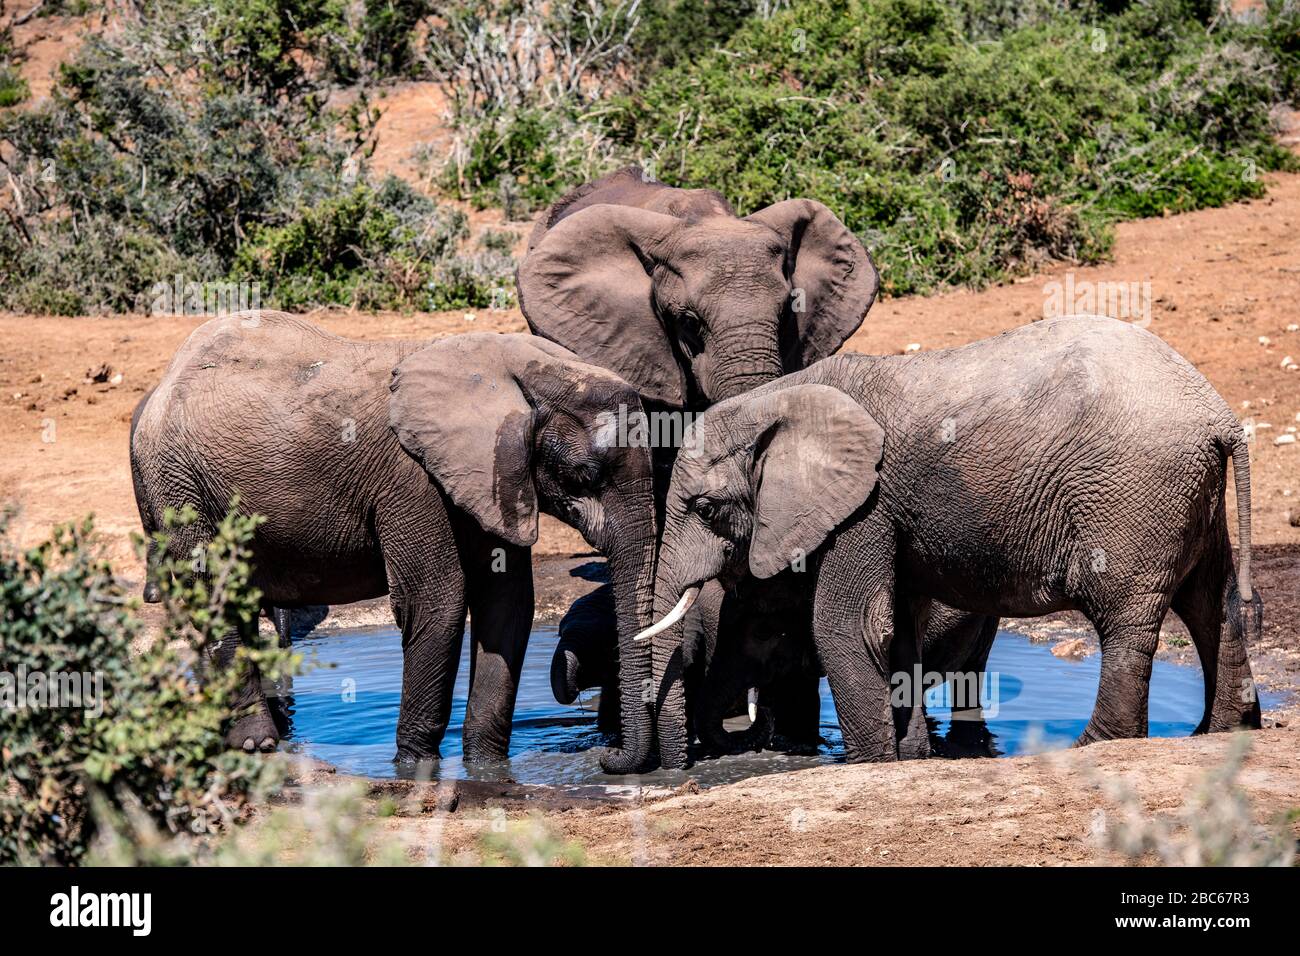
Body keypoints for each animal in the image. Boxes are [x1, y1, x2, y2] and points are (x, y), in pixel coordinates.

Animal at [130, 312, 660, 772]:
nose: (607, 757)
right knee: (215, 596)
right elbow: (438, 599)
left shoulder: (495, 477)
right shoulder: (411, 478)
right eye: (584, 475)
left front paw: (487, 768)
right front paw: (416, 767)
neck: (514, 366)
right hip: (177, 483)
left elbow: (507, 604)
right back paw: (256, 744)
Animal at [639, 315, 1262, 768]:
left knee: (1125, 619)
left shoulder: (865, 502)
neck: (780, 400)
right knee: (1212, 605)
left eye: (705, 509)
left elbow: (849, 623)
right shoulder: (889, 514)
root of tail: (1221, 415)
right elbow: (897, 627)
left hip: (1131, 492)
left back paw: (1096, 745)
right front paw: (913, 756)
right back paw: (1219, 731)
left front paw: (869, 765)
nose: (702, 754)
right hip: (1188, 496)